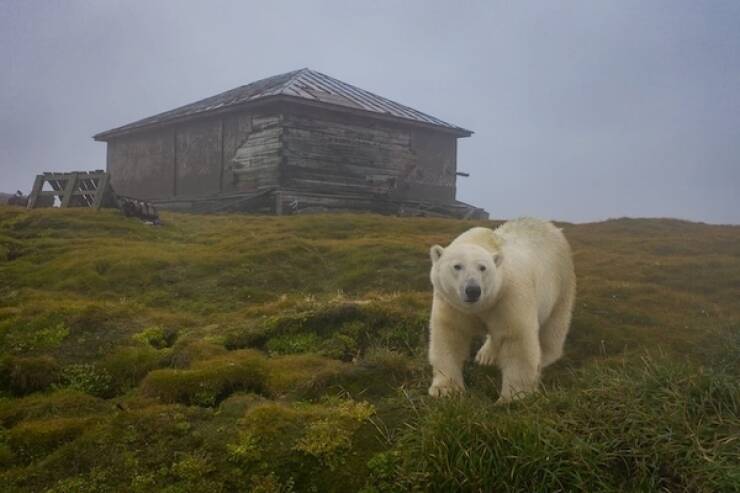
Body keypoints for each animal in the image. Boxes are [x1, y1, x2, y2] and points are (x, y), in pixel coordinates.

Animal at [427, 218, 576, 403]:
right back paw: (486, 356)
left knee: (555, 325)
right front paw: (446, 390)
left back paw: (545, 357)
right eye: (457, 266)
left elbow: (517, 339)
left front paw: (514, 397)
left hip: (561, 281)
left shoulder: (509, 295)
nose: (473, 290)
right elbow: (450, 336)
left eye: (483, 267)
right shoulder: (451, 303)